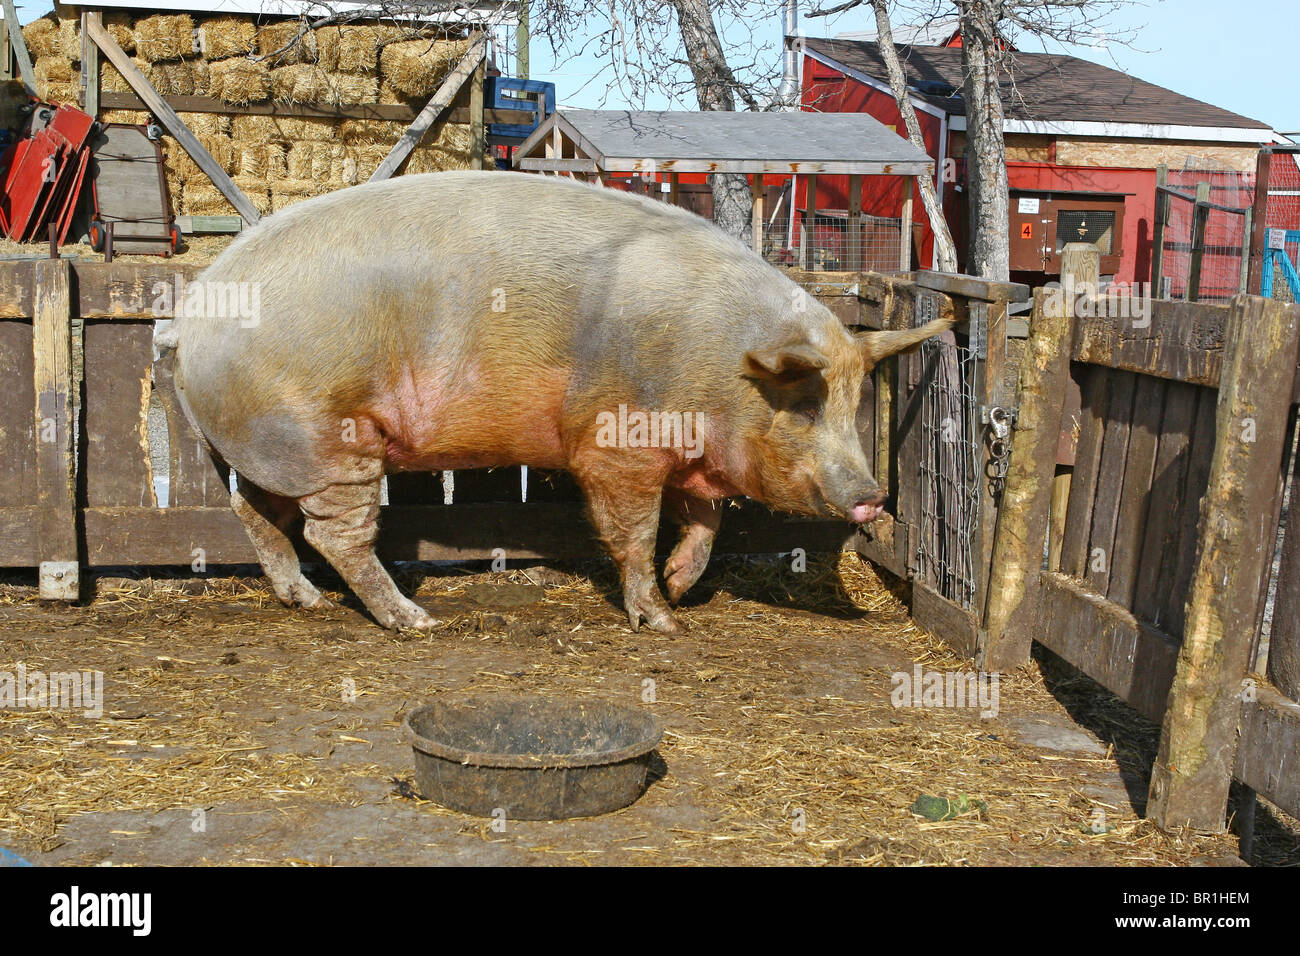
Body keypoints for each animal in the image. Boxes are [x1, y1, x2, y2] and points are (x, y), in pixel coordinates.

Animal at [165, 171, 953, 633]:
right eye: (804, 407)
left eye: (852, 403)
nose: (871, 496)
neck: (718, 368)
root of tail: (195, 307)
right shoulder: (617, 446)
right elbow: (634, 532)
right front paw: (662, 622)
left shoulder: (692, 458)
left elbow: (706, 522)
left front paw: (680, 587)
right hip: (333, 439)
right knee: (336, 537)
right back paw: (416, 621)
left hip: (279, 450)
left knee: (254, 513)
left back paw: (304, 601)